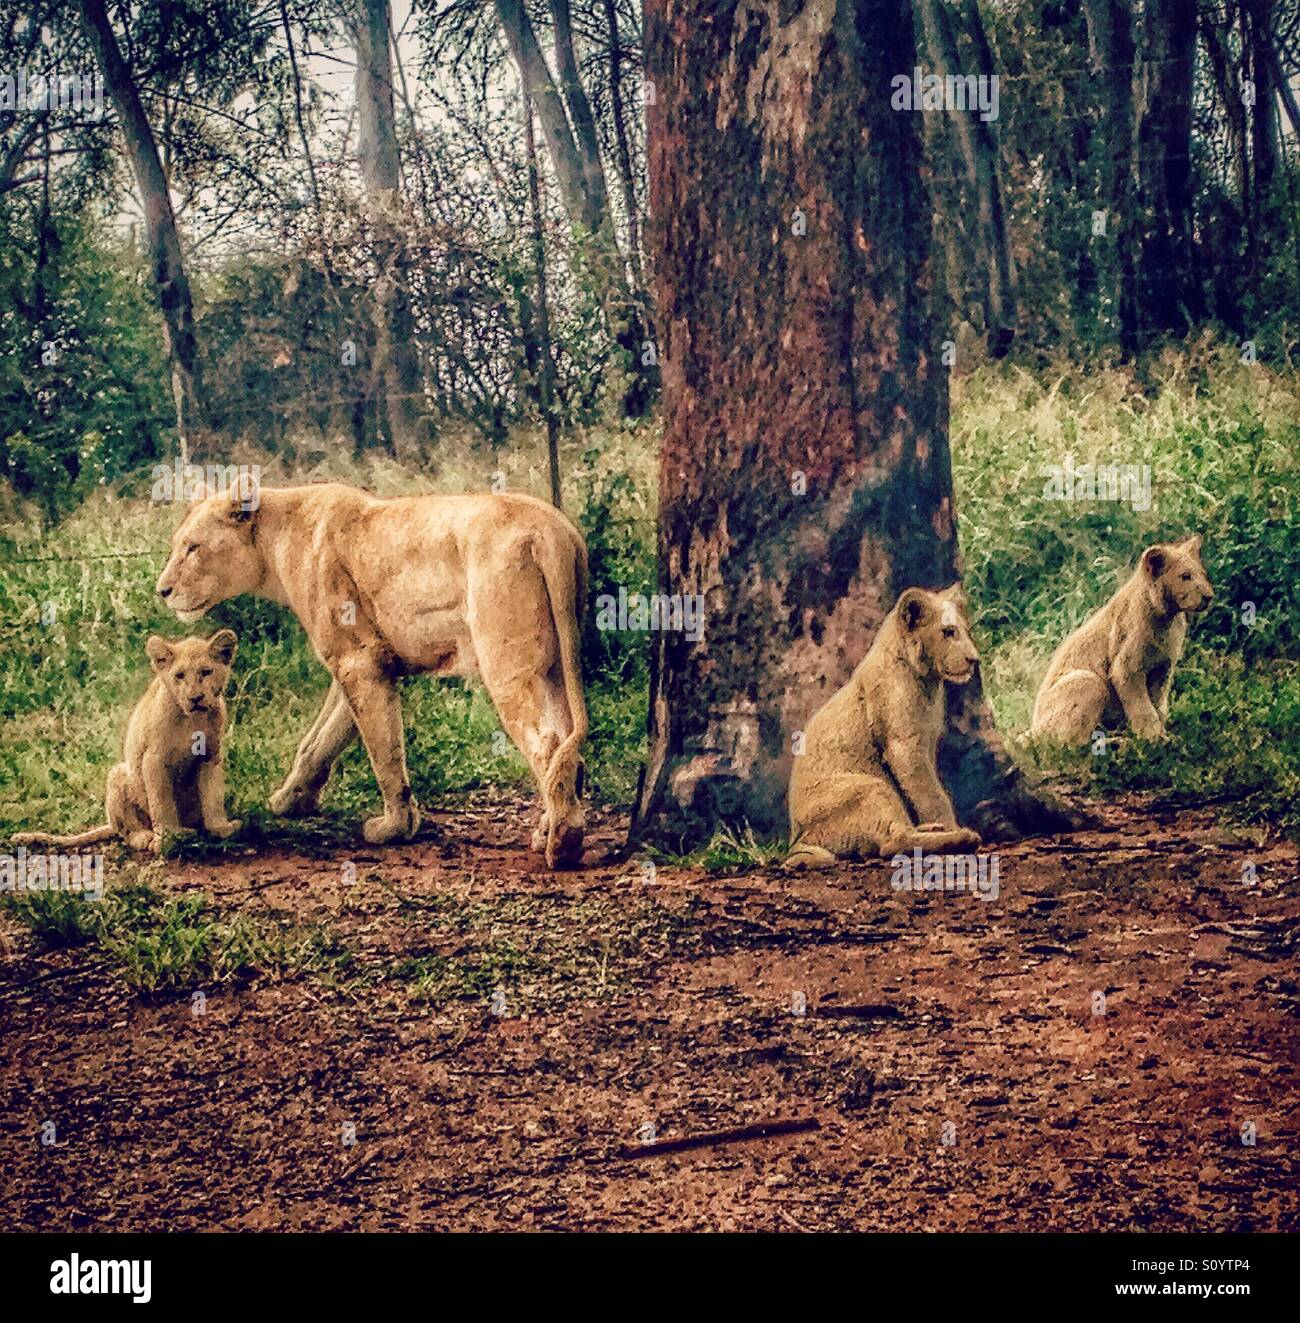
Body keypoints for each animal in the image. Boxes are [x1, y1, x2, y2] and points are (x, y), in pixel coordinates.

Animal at [12, 631, 241, 854]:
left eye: (206, 672)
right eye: (179, 675)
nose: (195, 697)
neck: (192, 719)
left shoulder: (211, 755)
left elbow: (213, 795)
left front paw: (221, 828)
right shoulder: (153, 758)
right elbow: (161, 800)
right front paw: (168, 837)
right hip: (117, 775)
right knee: (127, 832)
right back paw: (147, 837)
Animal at [155, 484, 588, 867]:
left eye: (192, 547)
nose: (163, 591)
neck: (273, 541)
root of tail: (550, 529)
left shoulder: (360, 663)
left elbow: (384, 752)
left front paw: (395, 827)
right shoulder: (360, 660)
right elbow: (320, 741)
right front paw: (289, 801)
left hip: (506, 661)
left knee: (548, 743)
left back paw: (563, 843)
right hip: (554, 665)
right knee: (566, 743)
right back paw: (548, 830)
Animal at [786, 584, 984, 868]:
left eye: (966, 631)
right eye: (948, 632)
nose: (974, 660)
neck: (926, 682)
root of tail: (797, 840)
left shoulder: (926, 742)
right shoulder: (904, 745)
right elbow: (932, 794)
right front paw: (950, 825)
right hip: (869, 786)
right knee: (892, 843)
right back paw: (961, 838)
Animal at [1030, 535, 1213, 746]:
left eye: (1202, 573)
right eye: (1185, 576)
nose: (1209, 596)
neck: (1165, 620)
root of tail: (1032, 729)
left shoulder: (1163, 666)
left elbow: (1158, 704)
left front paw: (1166, 736)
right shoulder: (1126, 664)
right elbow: (1142, 706)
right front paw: (1152, 737)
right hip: (1089, 682)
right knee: (1072, 743)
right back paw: (1116, 741)